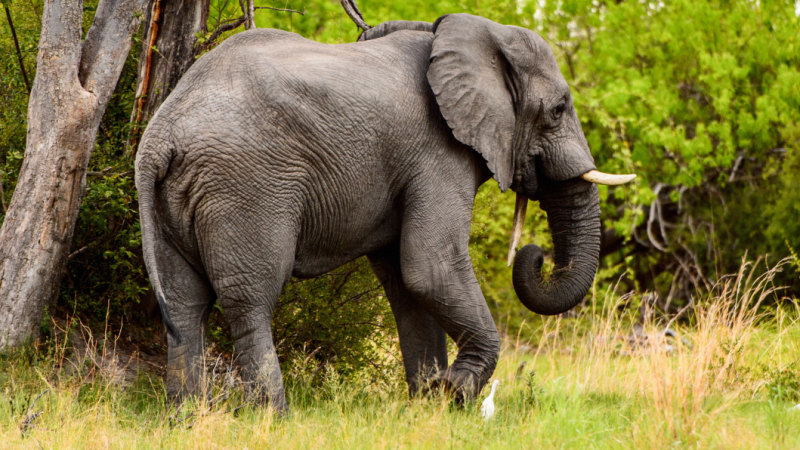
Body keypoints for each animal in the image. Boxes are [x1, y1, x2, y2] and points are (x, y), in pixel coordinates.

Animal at [135, 13, 634, 413]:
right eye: (558, 109)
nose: (536, 255)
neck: (472, 32)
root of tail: (161, 135)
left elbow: (408, 284)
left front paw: (428, 405)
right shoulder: (437, 152)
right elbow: (430, 267)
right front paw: (454, 393)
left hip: (177, 196)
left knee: (183, 304)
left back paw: (185, 419)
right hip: (246, 186)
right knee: (250, 300)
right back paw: (273, 418)